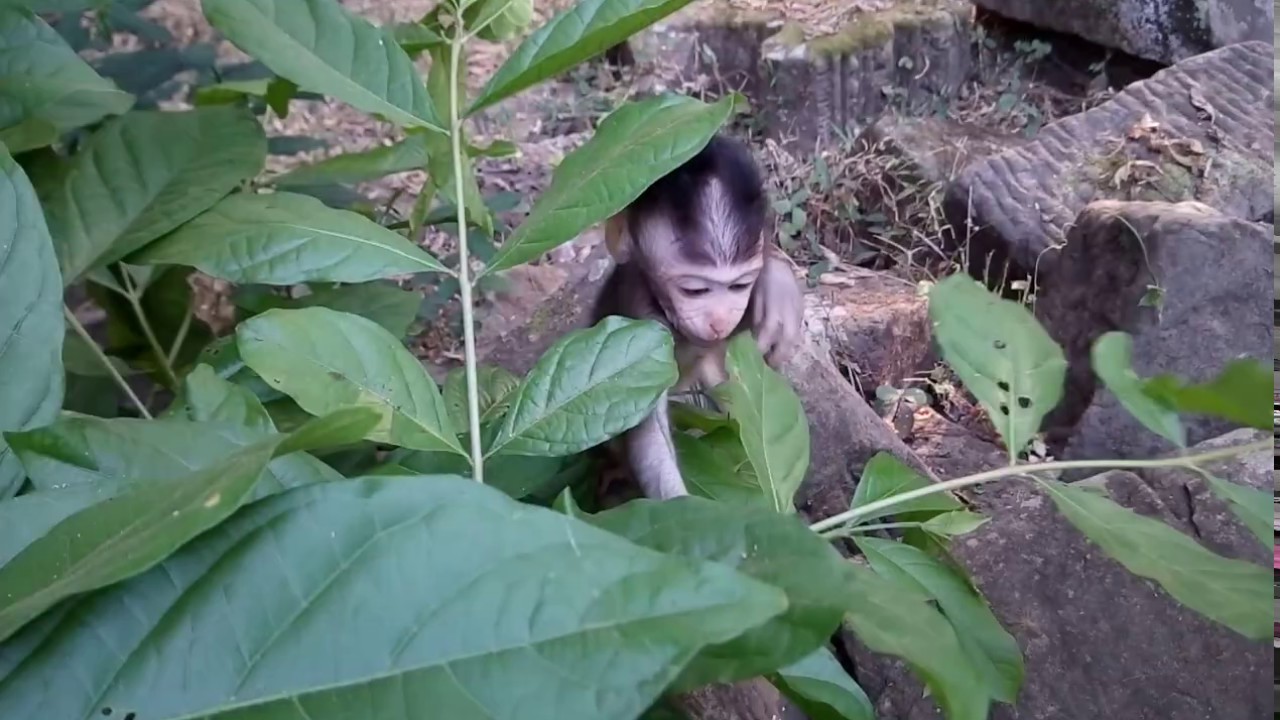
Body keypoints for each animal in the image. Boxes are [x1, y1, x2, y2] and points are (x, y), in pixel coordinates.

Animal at [591, 133, 804, 501]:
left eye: (738, 286)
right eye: (694, 291)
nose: (718, 319)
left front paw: (778, 287)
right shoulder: (642, 323)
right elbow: (650, 436)